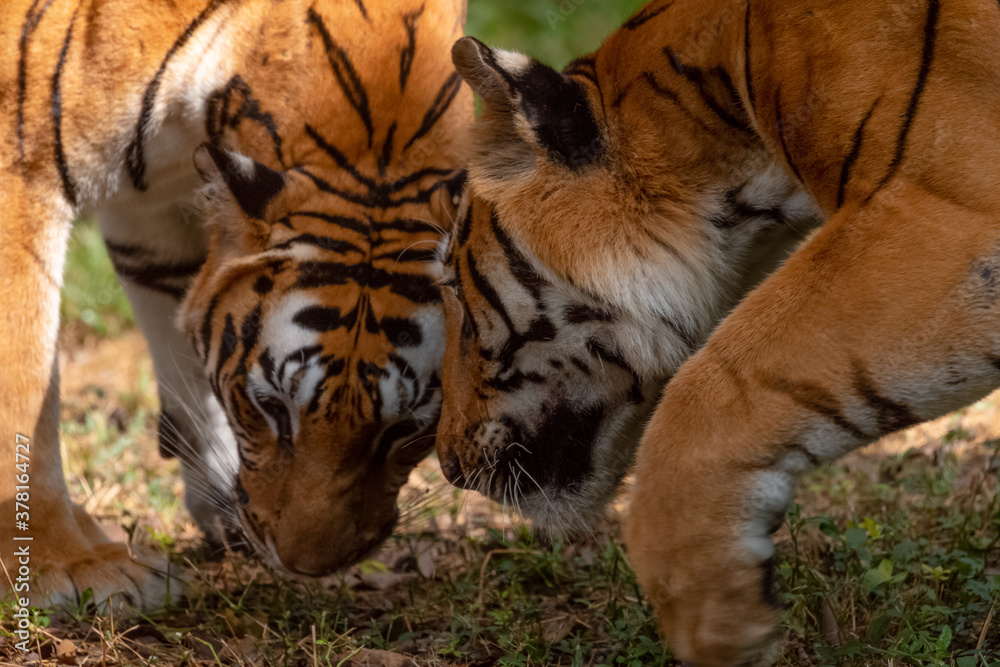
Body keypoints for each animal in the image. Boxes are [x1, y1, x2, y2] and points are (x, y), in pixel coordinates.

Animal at [0, 0, 471, 610]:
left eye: (406, 429)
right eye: (271, 408)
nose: (307, 567)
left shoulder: (154, 214)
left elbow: (184, 366)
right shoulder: (20, 175)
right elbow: (23, 390)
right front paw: (69, 565)